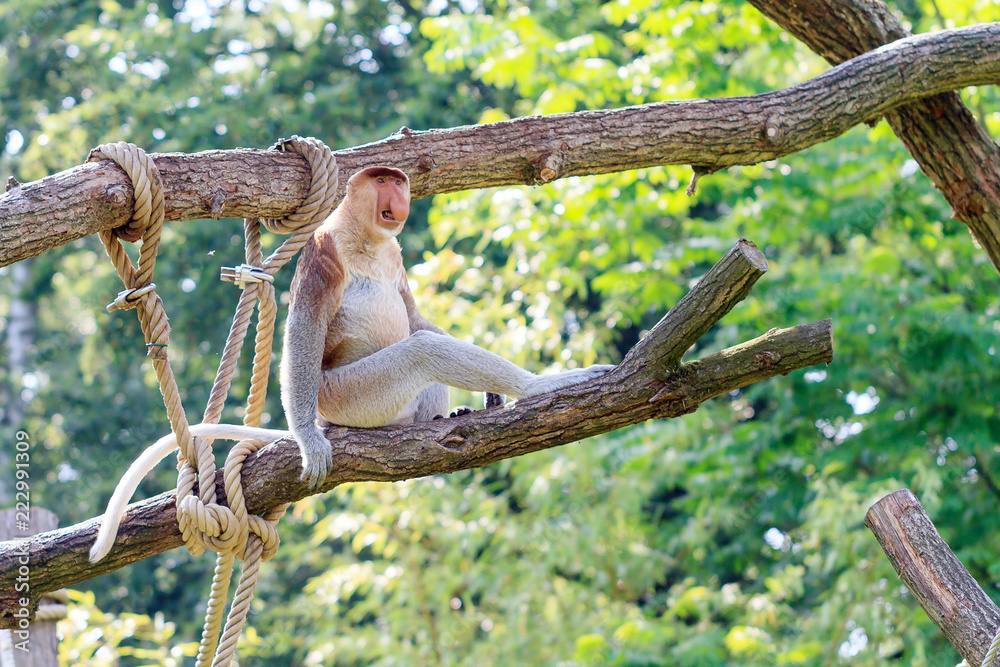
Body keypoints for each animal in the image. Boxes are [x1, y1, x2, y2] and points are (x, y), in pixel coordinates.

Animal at [89, 166, 613, 563]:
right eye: (382, 181)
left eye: (398, 183)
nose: (398, 196)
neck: (366, 239)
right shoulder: (323, 255)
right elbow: (306, 331)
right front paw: (307, 441)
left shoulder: (395, 254)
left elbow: (413, 313)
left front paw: (490, 395)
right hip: (348, 395)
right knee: (421, 350)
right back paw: (542, 385)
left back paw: (452, 415)